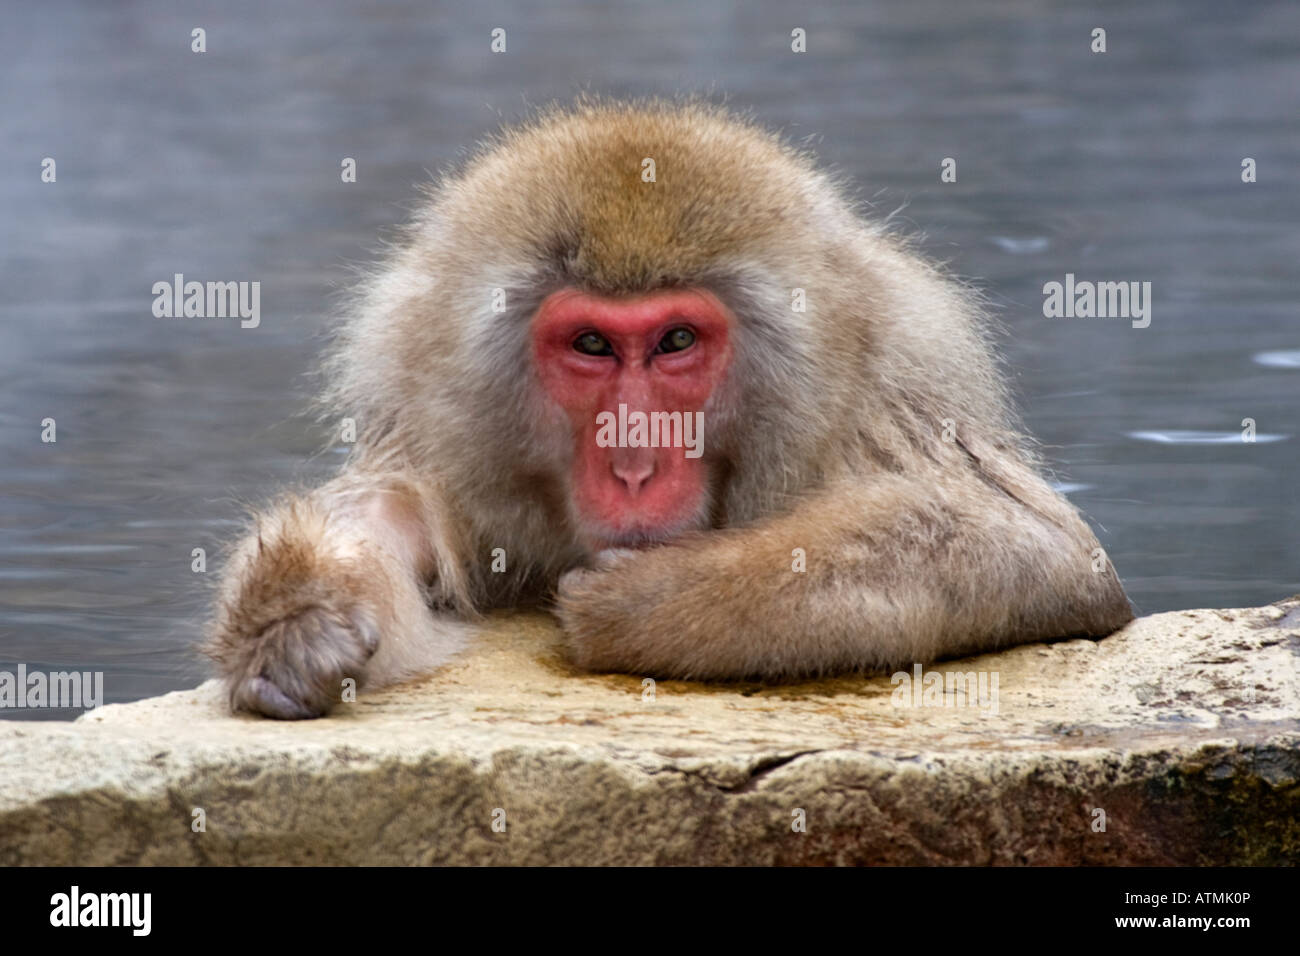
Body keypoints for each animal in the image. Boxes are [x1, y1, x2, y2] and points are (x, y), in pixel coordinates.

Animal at [205, 97, 1133, 719]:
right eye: (592, 346)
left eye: (676, 341)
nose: (635, 462)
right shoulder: (435, 433)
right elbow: (387, 513)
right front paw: (299, 613)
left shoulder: (886, 396)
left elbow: (1038, 545)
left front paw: (654, 601)